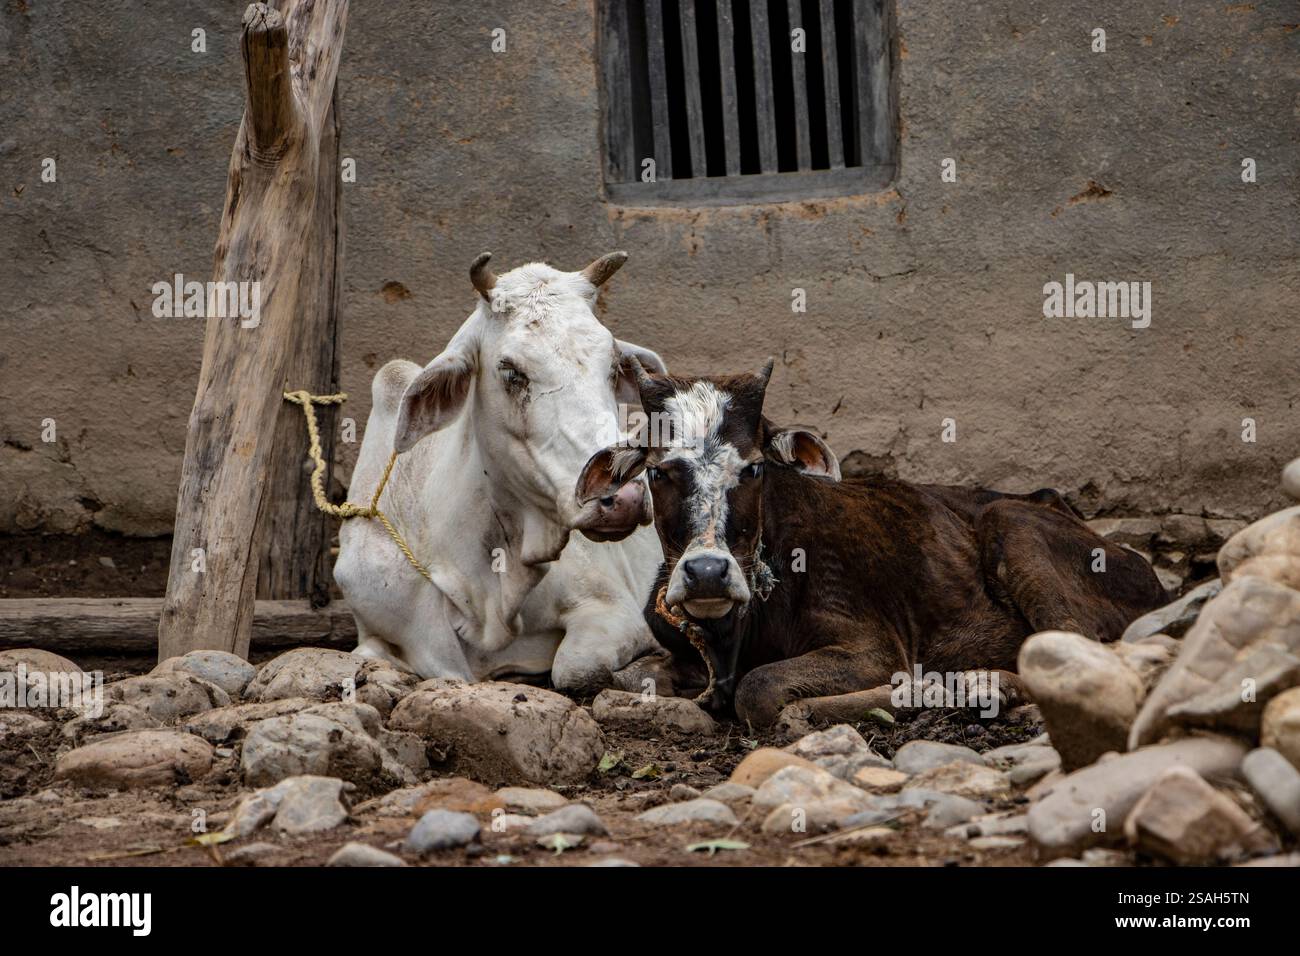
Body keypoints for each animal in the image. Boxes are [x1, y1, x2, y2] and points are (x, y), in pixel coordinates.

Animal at [334, 252, 667, 693]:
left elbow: (575, 669)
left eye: (613, 367)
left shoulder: (612, 607)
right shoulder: (372, 627)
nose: (625, 496)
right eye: (511, 372)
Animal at [575, 359, 1169, 727]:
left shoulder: (871, 646)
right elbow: (623, 677)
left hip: (1014, 526)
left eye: (755, 467)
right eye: (658, 471)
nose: (706, 574)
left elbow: (759, 689)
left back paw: (982, 686)